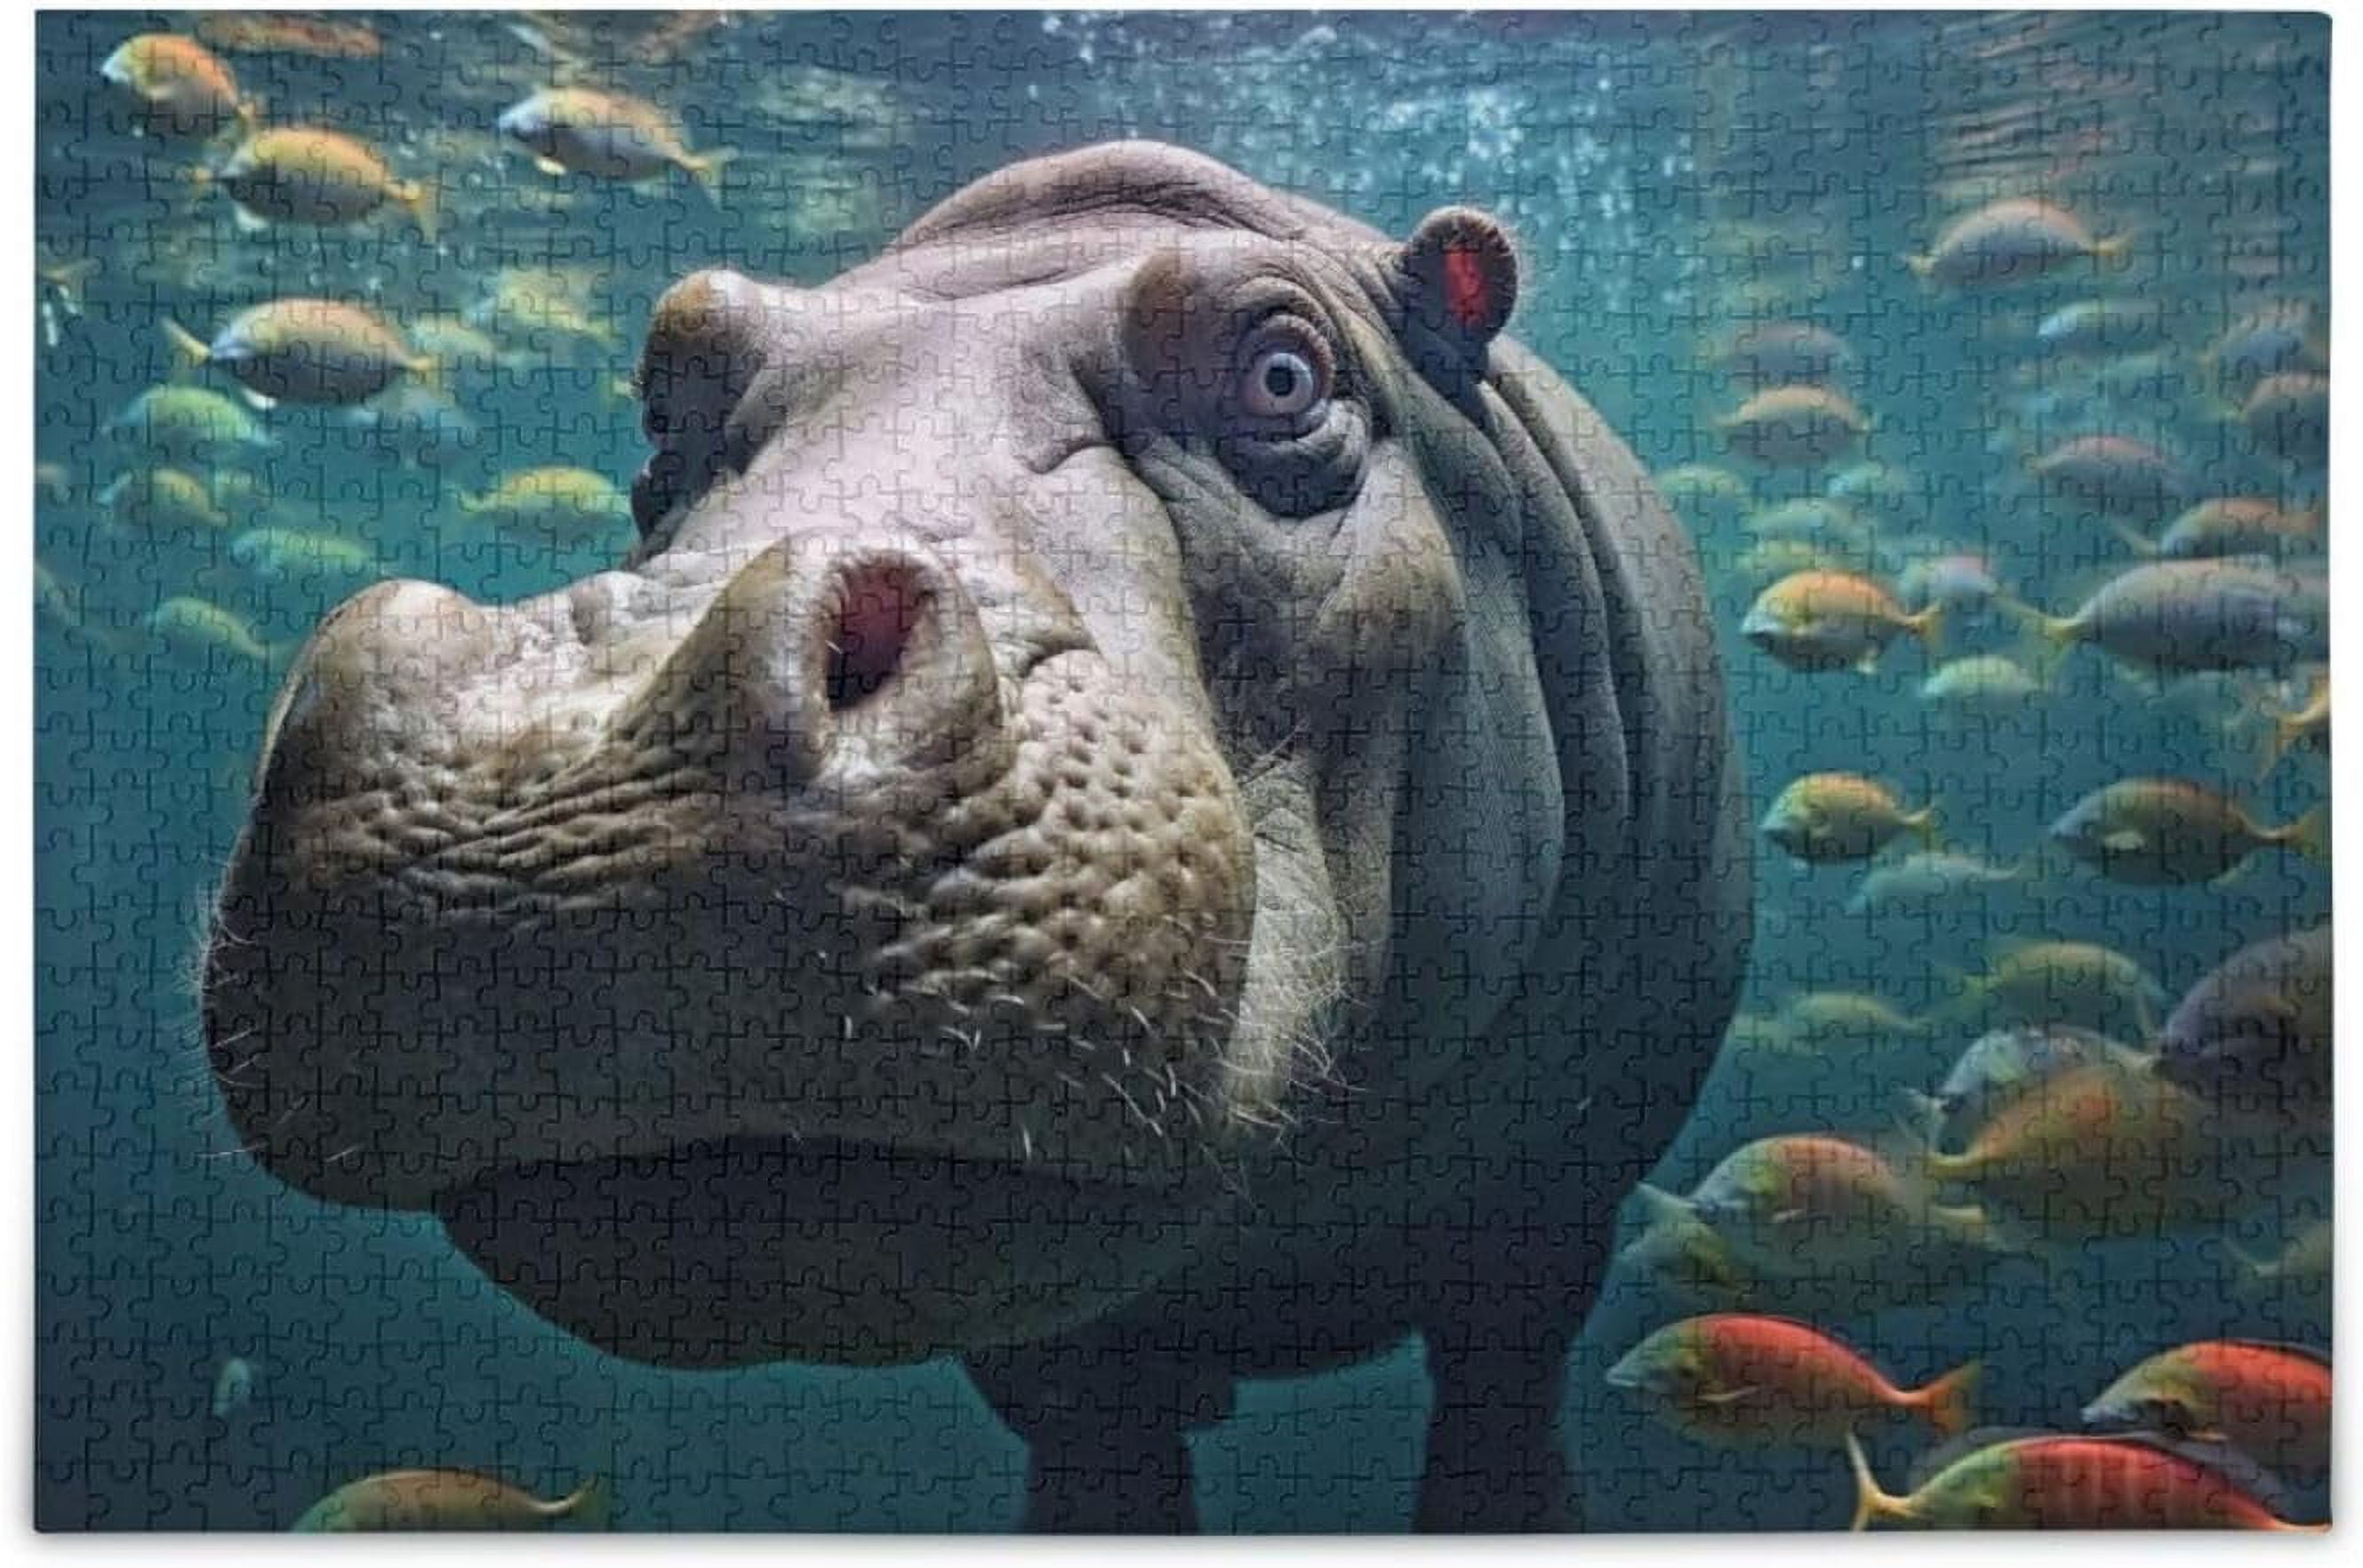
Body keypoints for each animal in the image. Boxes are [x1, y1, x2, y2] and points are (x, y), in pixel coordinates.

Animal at [201, 141, 1749, 1531]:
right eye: (663, 393)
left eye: (1284, 374)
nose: (565, 735)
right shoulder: (1060, 1367)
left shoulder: (1543, 1232)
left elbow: (1499, 1433)